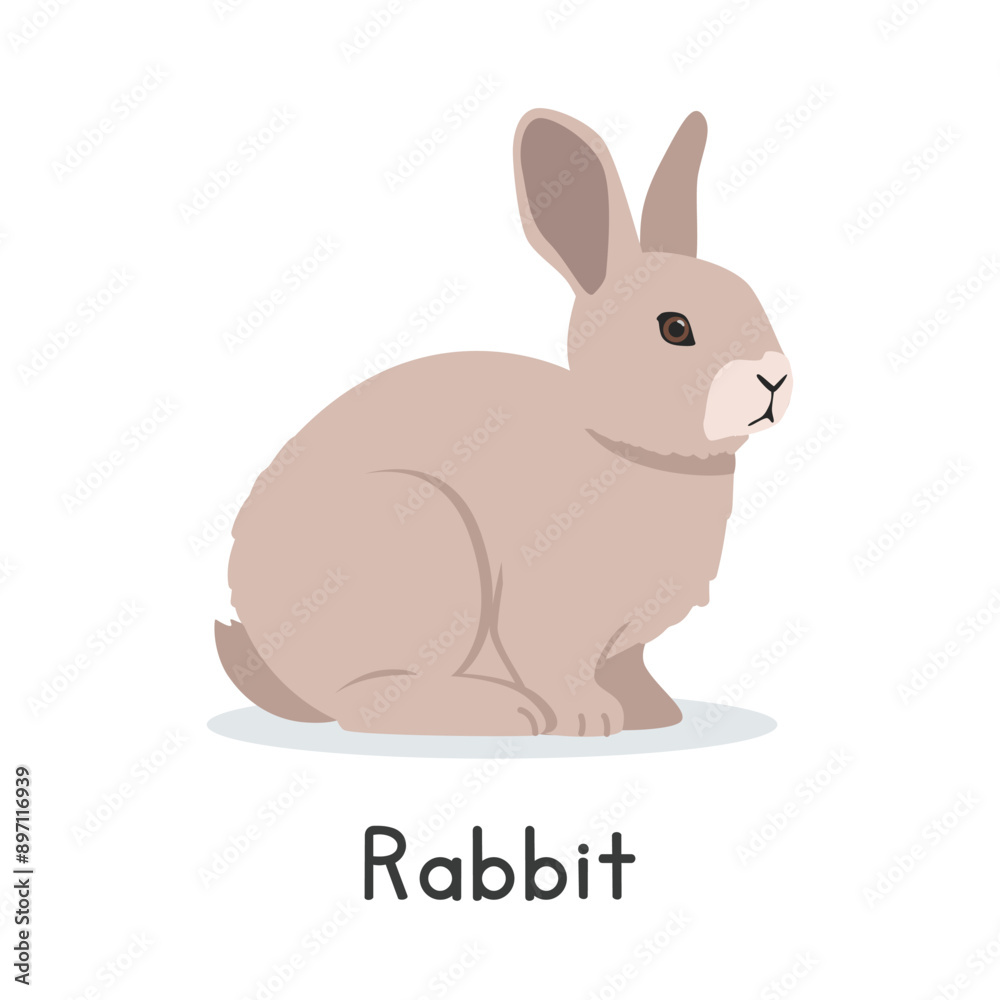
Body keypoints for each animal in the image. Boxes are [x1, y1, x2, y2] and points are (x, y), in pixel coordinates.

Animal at [215, 108, 792, 737]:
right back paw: (505, 712)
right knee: (367, 702)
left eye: (752, 298)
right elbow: (556, 661)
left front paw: (654, 712)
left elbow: (628, 665)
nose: (775, 378)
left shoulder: (625, 639)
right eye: (674, 328)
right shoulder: (544, 602)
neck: (628, 445)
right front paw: (590, 719)